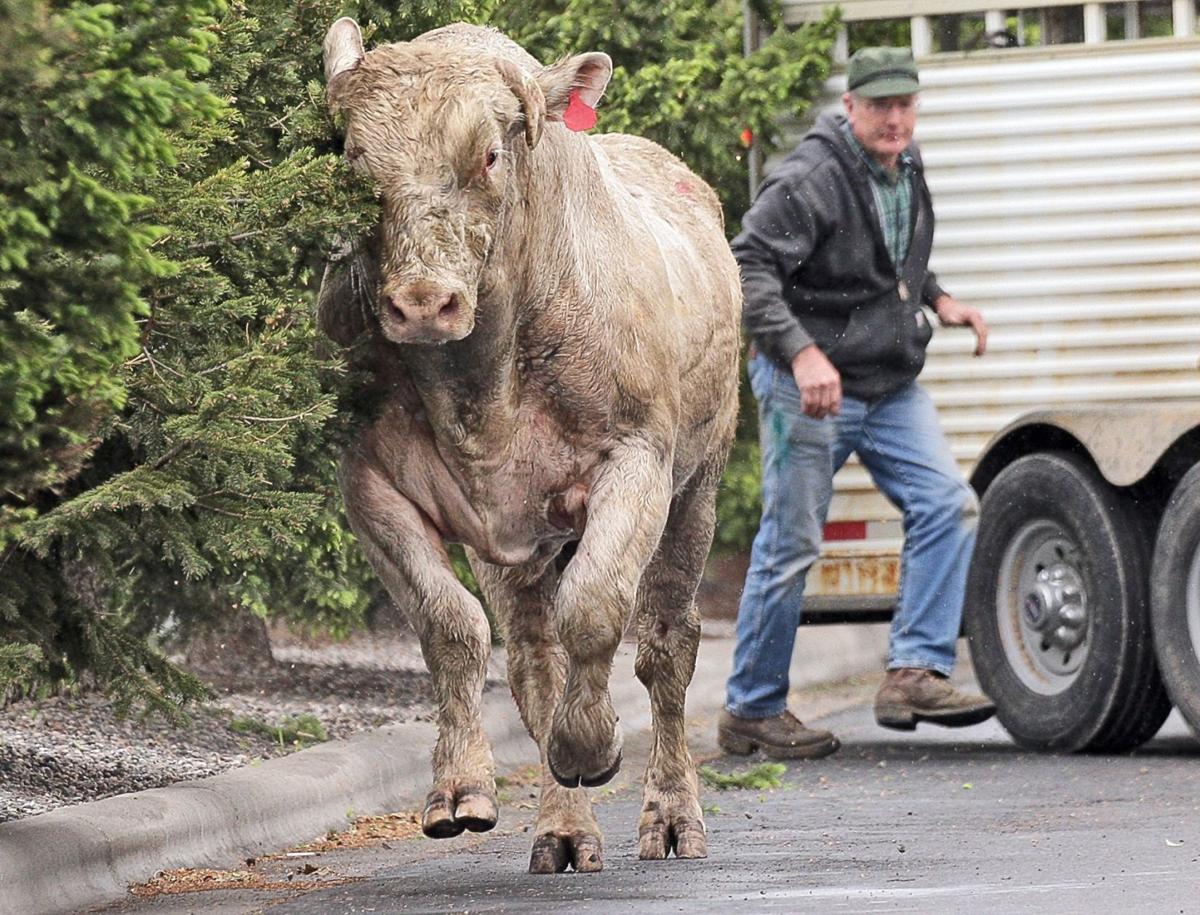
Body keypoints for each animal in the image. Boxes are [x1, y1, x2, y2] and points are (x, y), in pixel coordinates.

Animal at [318, 18, 741, 873]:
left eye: (488, 153)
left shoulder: (636, 465)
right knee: (533, 660)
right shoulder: (373, 482)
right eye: (353, 160)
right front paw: (459, 787)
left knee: (666, 645)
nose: (422, 303)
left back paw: (672, 814)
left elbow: (596, 609)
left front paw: (591, 744)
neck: (483, 385)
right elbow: (451, 625)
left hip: (700, 488)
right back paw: (563, 828)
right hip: (520, 546)